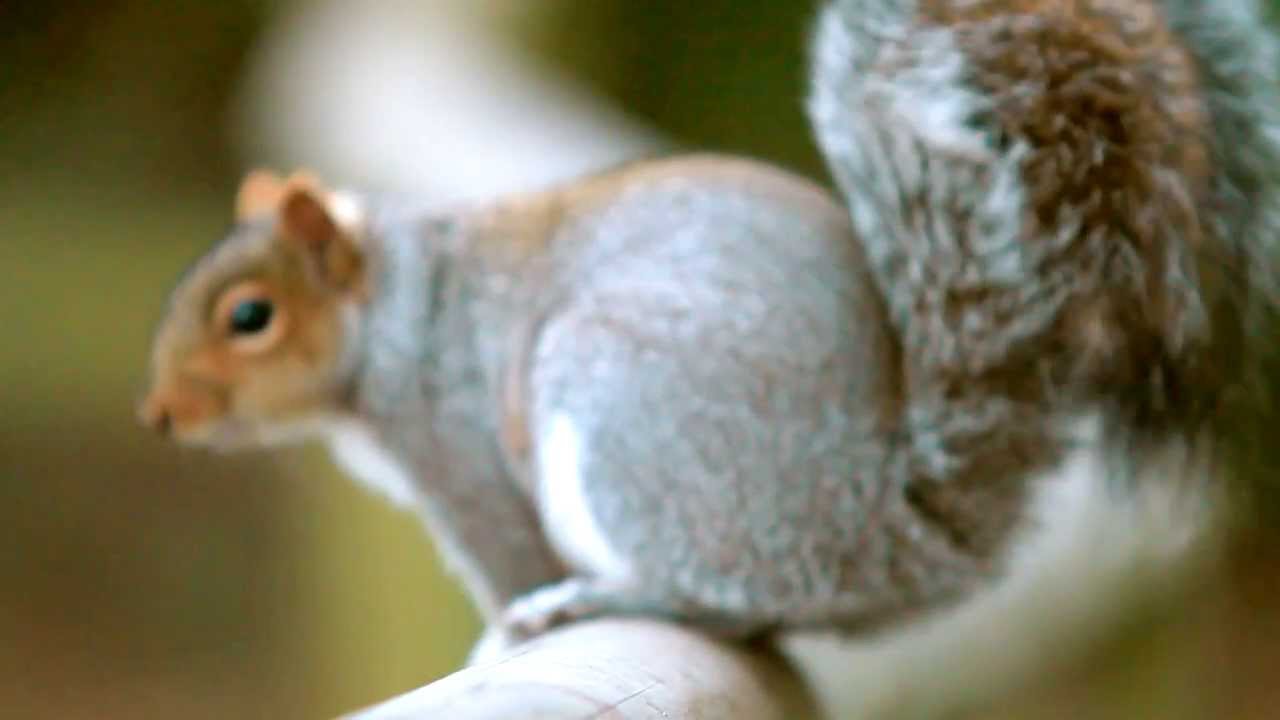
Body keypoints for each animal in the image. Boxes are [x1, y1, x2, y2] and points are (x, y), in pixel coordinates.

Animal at [137, 0, 1280, 663]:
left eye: (250, 317)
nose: (160, 416)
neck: (395, 310)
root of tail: (884, 526)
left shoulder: (459, 449)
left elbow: (503, 560)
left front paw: (499, 638)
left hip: (617, 405)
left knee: (722, 600)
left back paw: (591, 599)